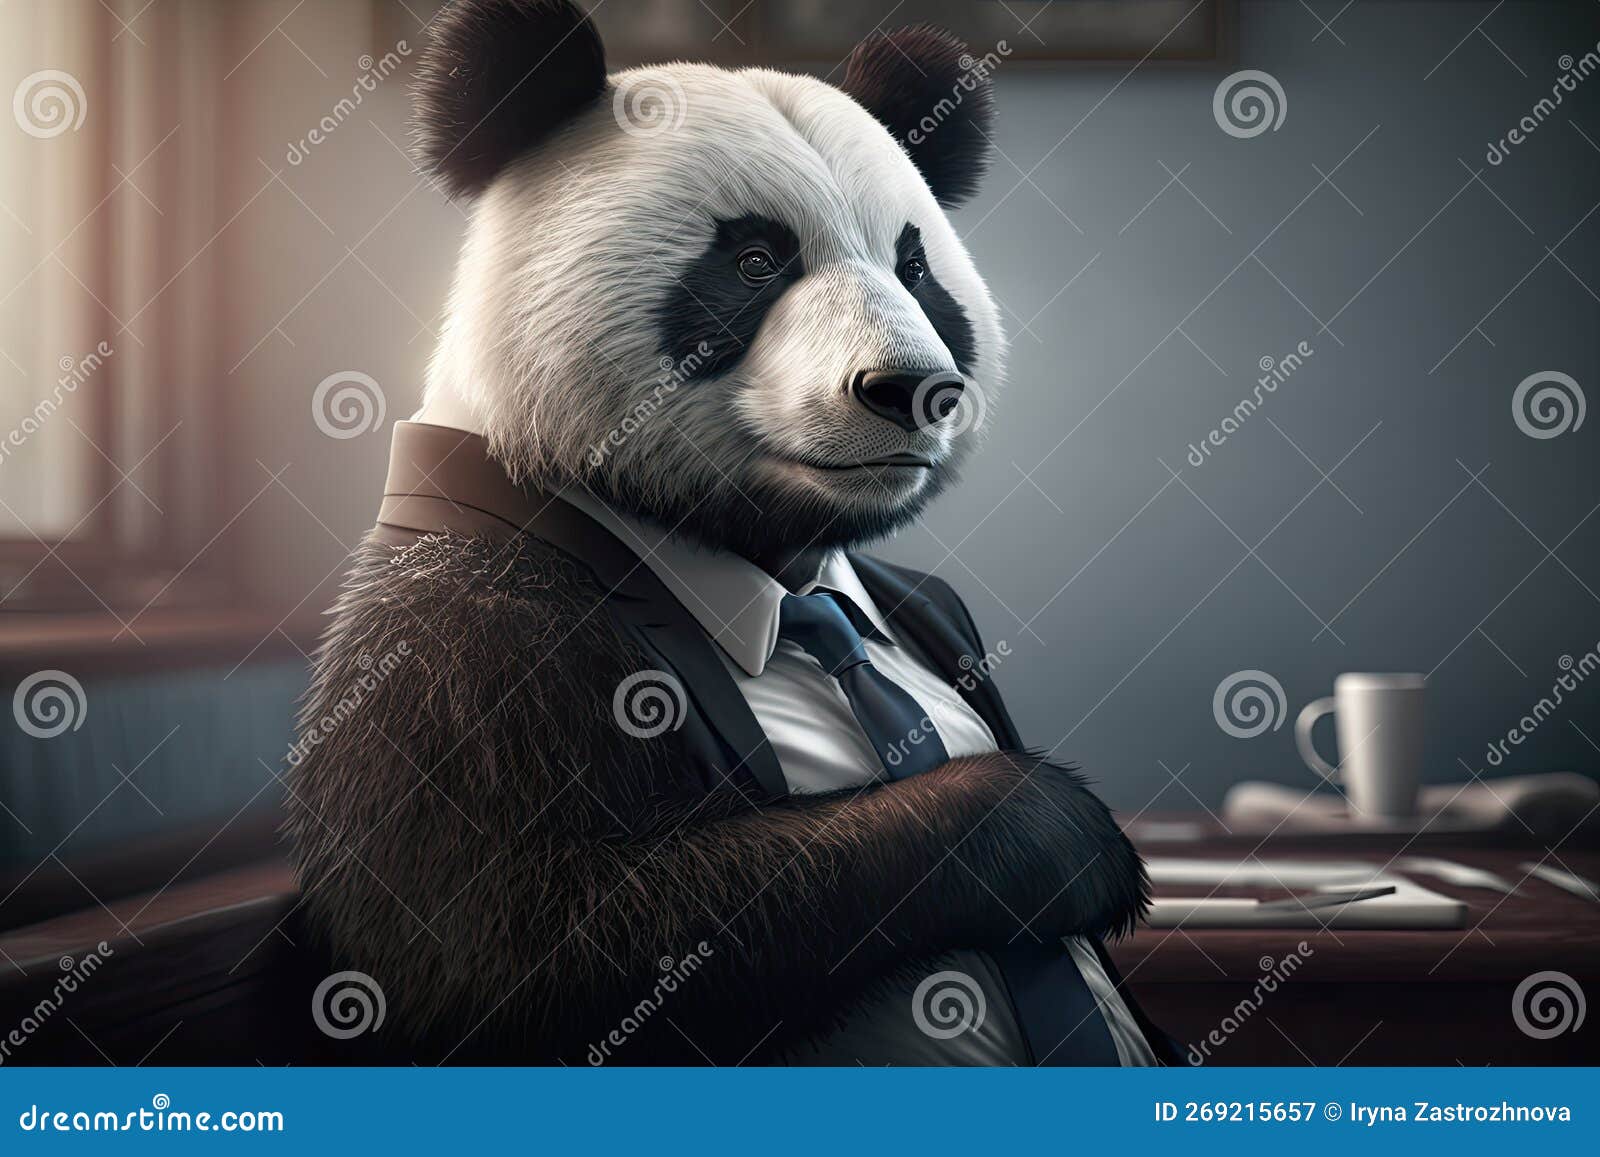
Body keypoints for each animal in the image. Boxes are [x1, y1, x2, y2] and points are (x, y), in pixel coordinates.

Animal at [287, 0, 1168, 1066]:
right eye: (754, 261)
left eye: (915, 267)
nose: (912, 388)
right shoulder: (460, 648)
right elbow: (514, 942)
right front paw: (1059, 833)